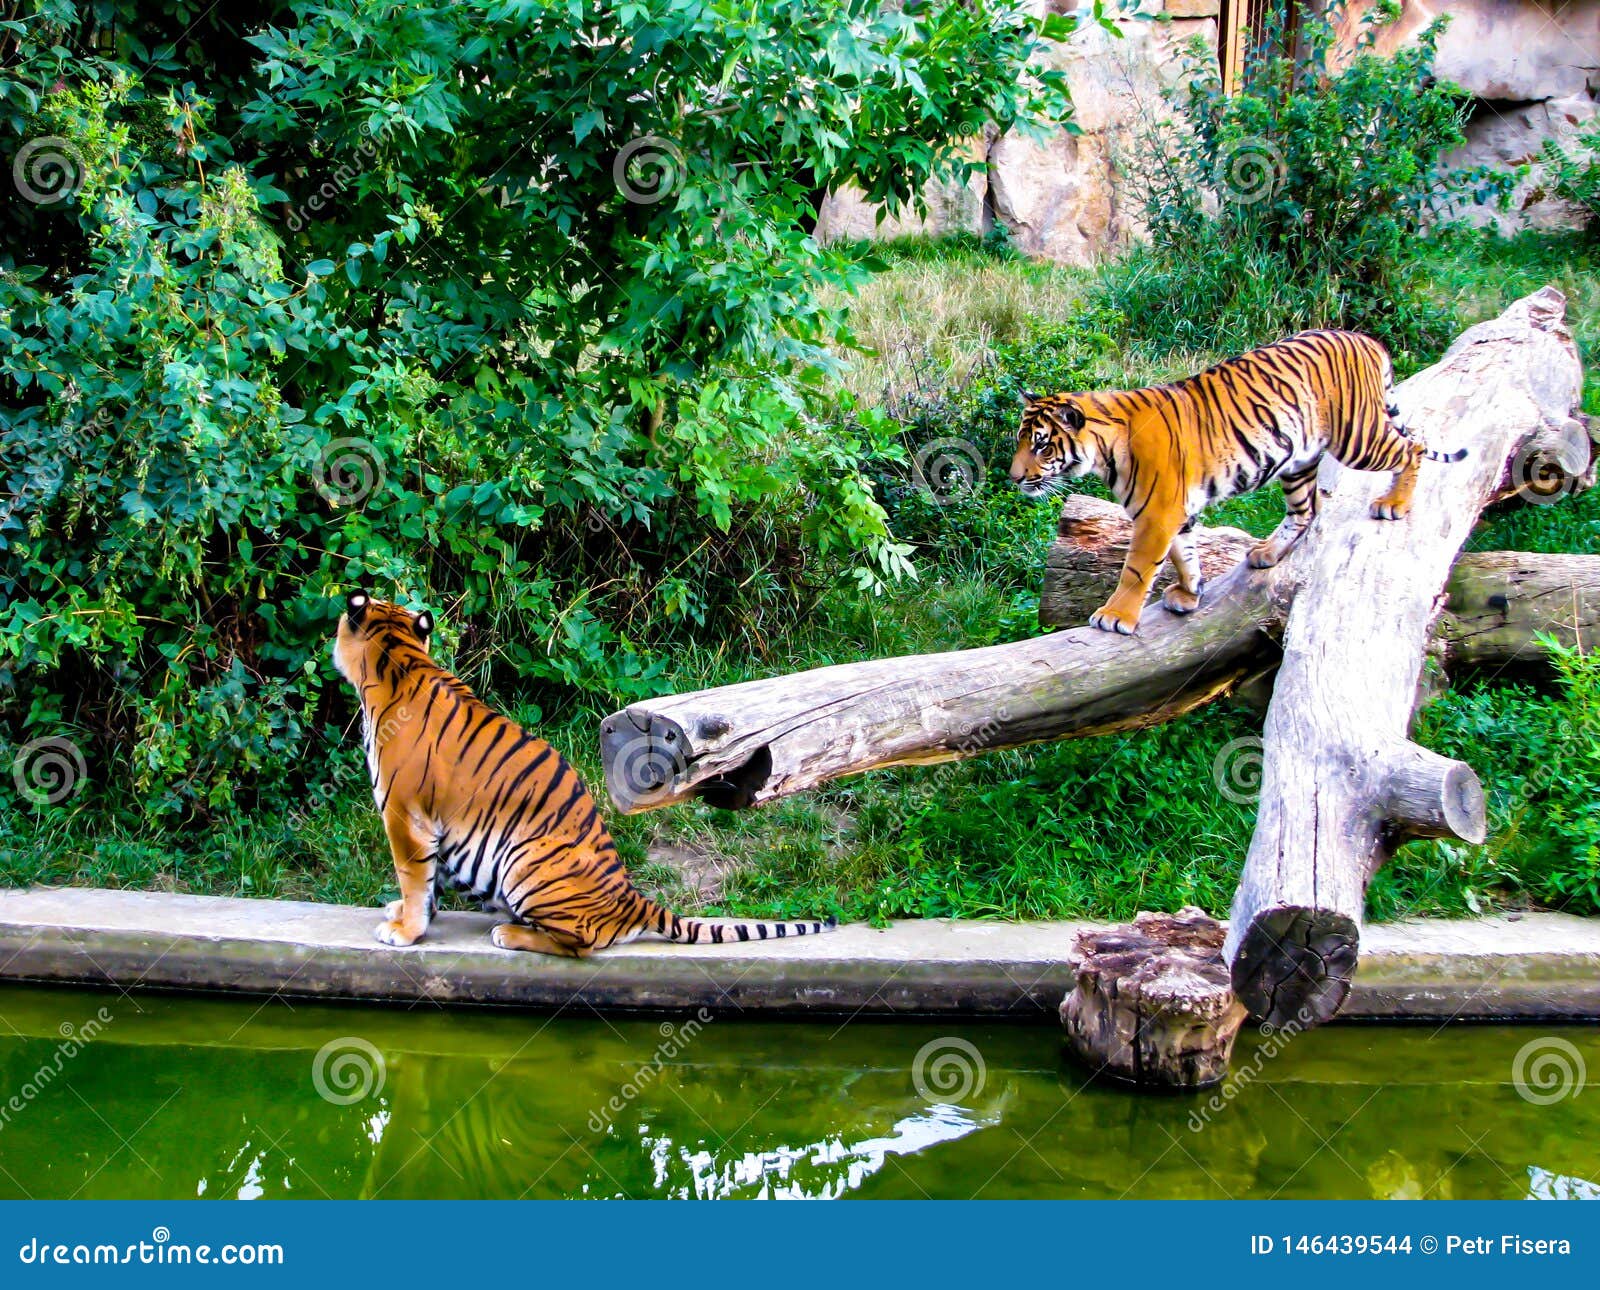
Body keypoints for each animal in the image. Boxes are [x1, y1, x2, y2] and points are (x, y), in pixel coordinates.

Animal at [332, 592, 837, 956]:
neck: (399, 662)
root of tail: (632, 898)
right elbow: (430, 880)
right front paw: (409, 915)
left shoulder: (404, 815)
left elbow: (414, 876)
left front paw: (405, 930)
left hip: (526, 859)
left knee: (581, 943)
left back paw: (510, 935)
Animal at [1007, 329, 1466, 634]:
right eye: (1020, 440)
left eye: (1042, 445)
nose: (1014, 478)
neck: (1106, 450)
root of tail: (1364, 338)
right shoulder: (1177, 512)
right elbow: (1184, 555)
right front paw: (1189, 595)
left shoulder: (1157, 514)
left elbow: (1137, 568)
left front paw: (1115, 617)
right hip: (1298, 461)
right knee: (1307, 509)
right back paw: (1268, 553)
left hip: (1358, 436)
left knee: (1413, 447)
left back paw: (1395, 503)